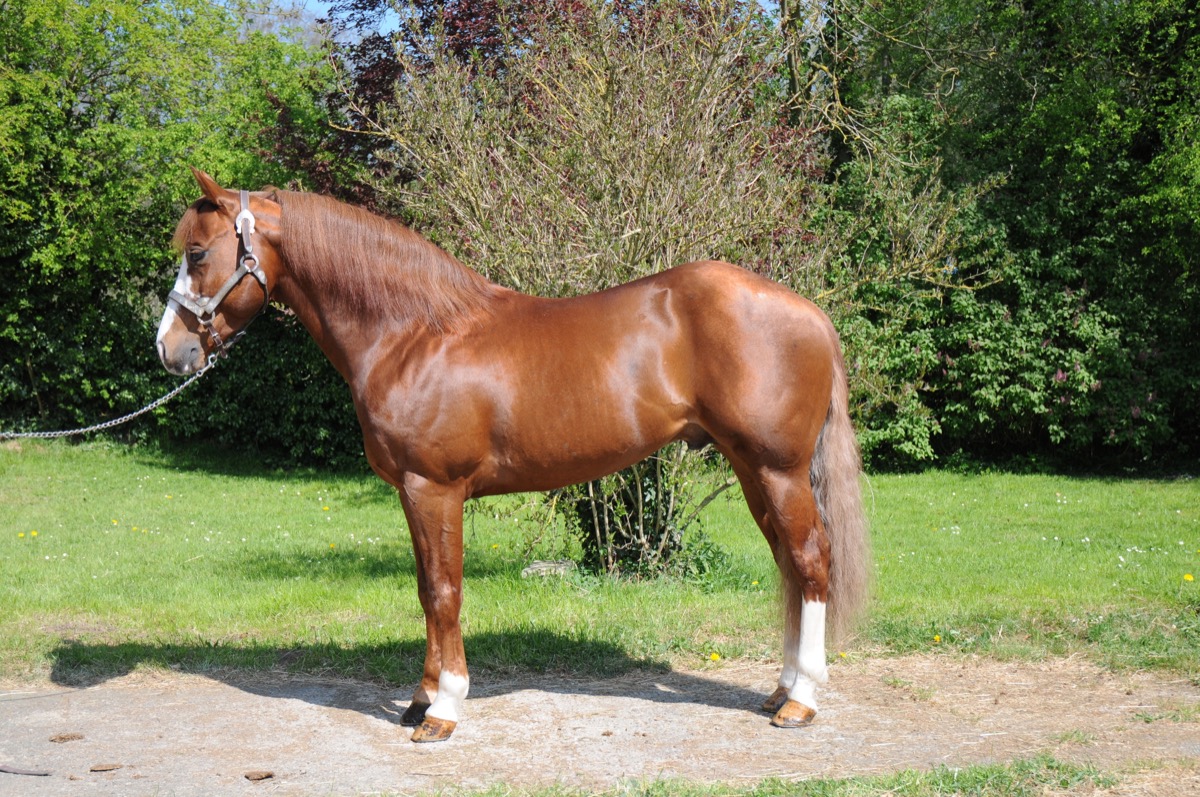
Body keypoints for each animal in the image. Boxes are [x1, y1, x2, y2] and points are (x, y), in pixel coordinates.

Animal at [156, 169, 870, 743]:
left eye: (197, 252)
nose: (170, 350)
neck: (414, 335)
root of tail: (808, 311)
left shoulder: (434, 488)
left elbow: (444, 591)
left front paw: (444, 710)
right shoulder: (411, 493)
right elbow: (425, 589)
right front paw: (420, 698)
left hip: (777, 470)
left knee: (810, 562)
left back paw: (801, 702)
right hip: (754, 472)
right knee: (788, 565)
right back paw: (780, 690)